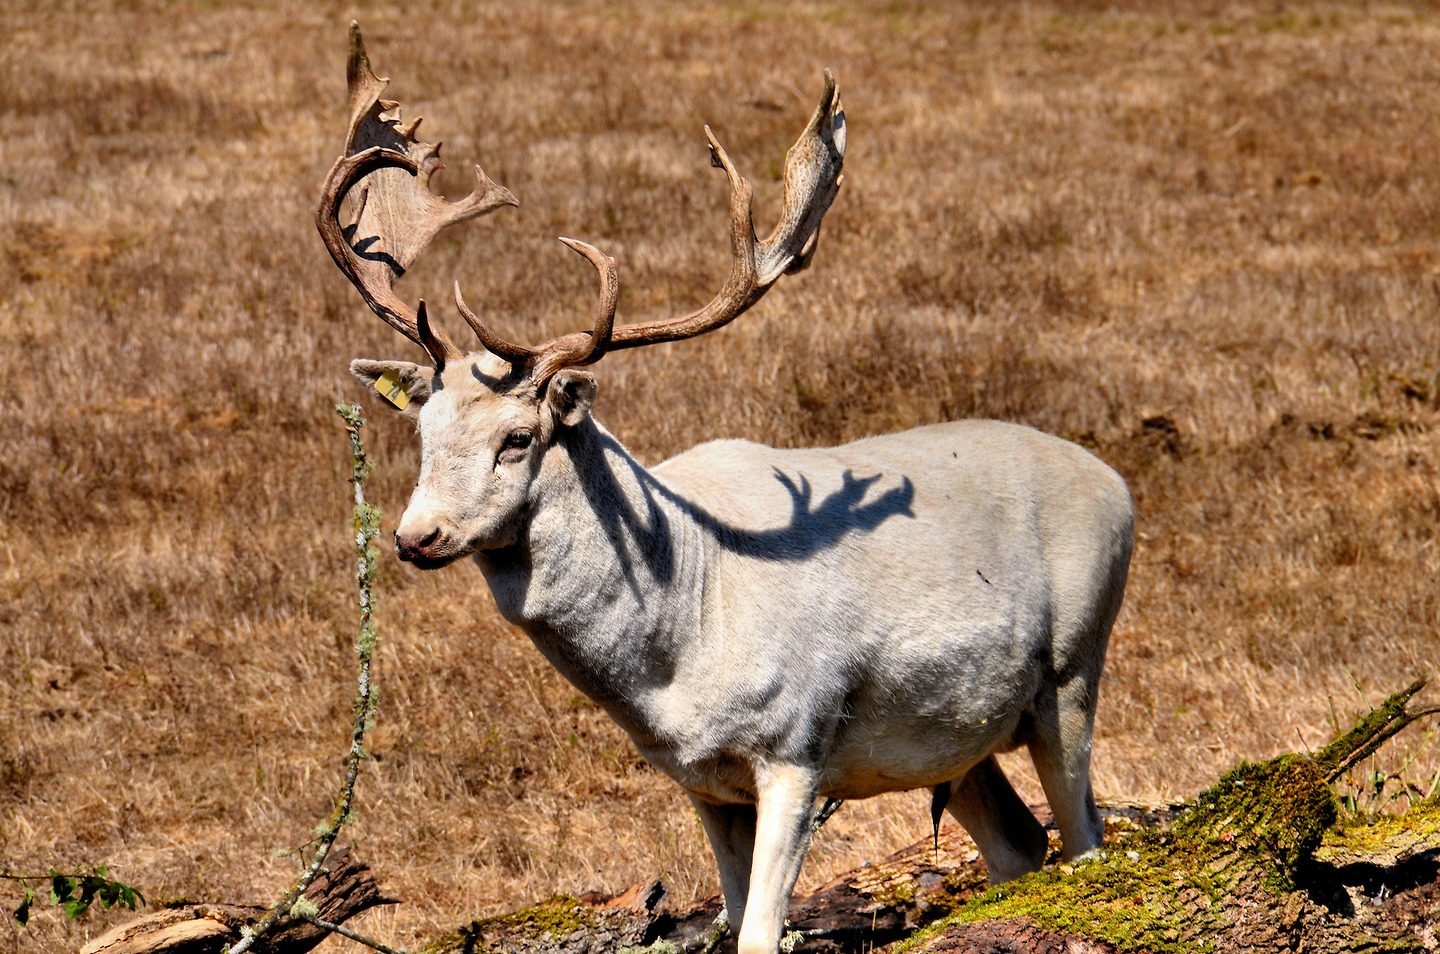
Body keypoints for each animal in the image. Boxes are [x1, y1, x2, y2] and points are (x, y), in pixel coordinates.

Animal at [318, 24, 1134, 954]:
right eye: (422, 431)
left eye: (517, 439)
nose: (417, 537)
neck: (684, 641)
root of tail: (1117, 483)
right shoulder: (701, 779)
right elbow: (732, 917)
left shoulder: (797, 744)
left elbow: (761, 932)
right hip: (955, 734)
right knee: (1021, 842)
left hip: (1072, 662)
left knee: (1085, 835)